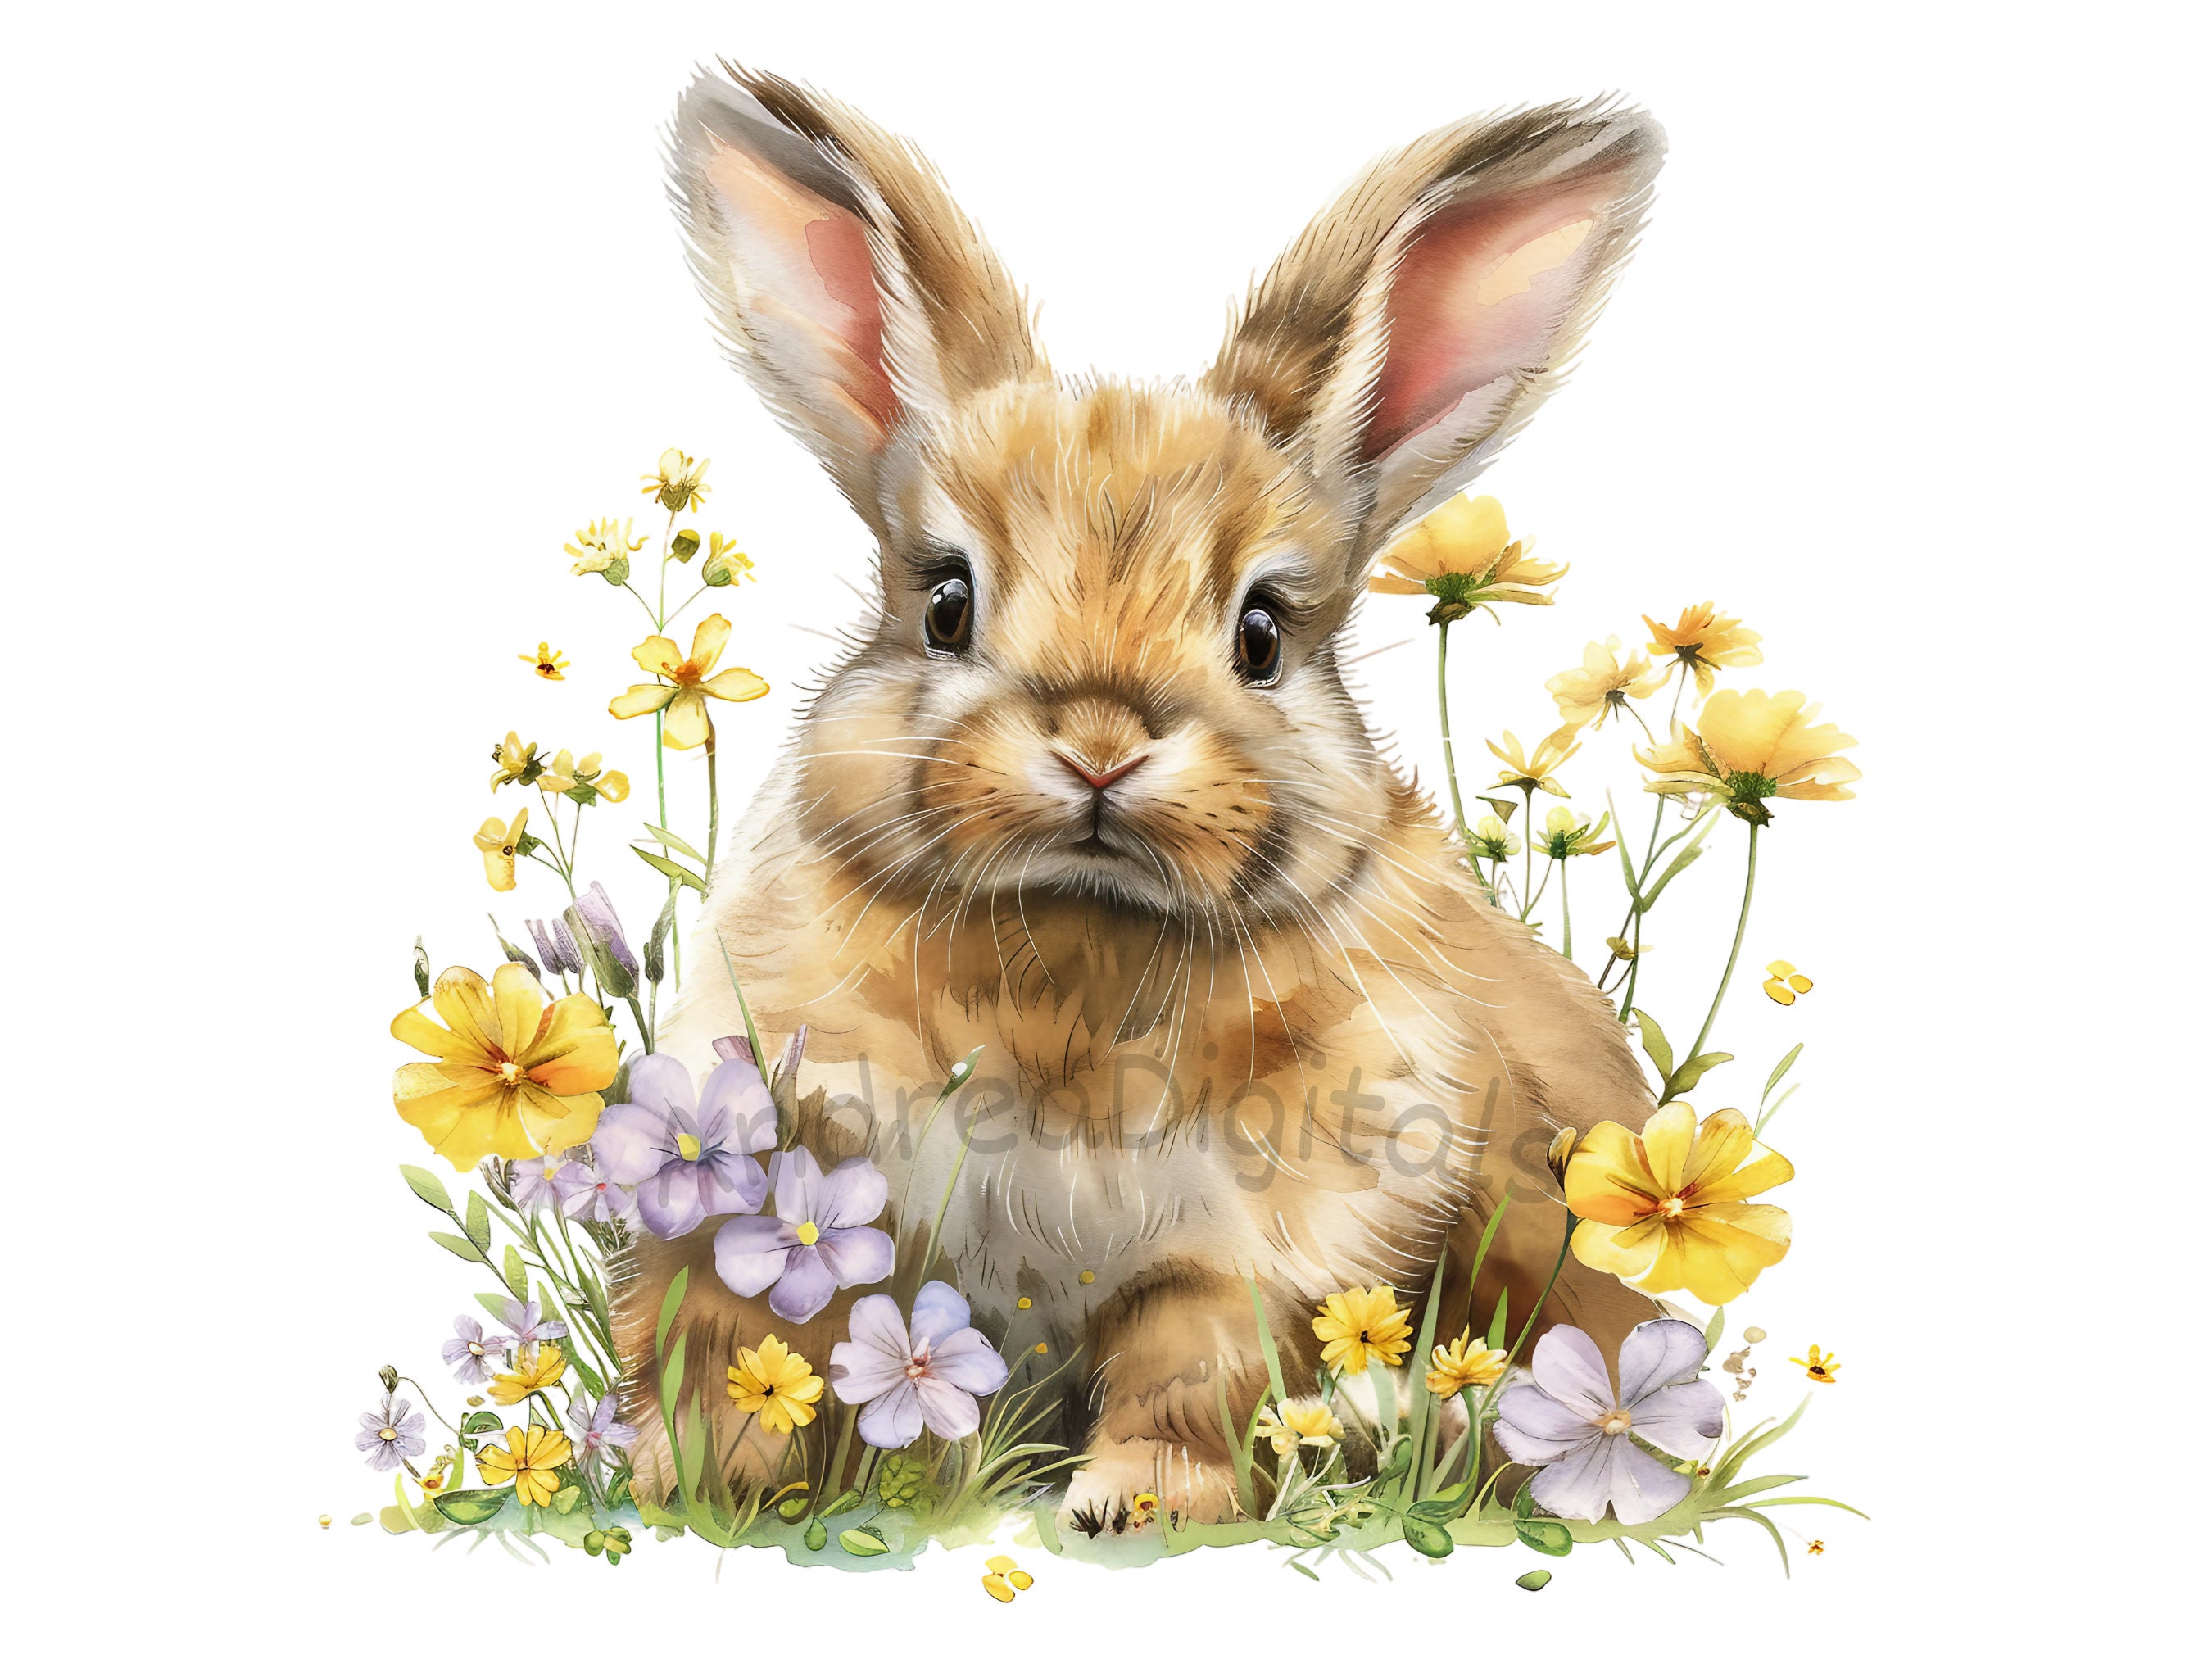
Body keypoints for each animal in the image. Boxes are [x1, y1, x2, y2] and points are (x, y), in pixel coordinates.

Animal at [613, 61, 1667, 1526]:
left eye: (1263, 633)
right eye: (946, 603)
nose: (1101, 745)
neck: (1078, 931)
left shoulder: (1263, 1236)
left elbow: (1190, 1358)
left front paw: (1132, 1502)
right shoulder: (789, 1158)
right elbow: (743, 1319)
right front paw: (695, 1469)